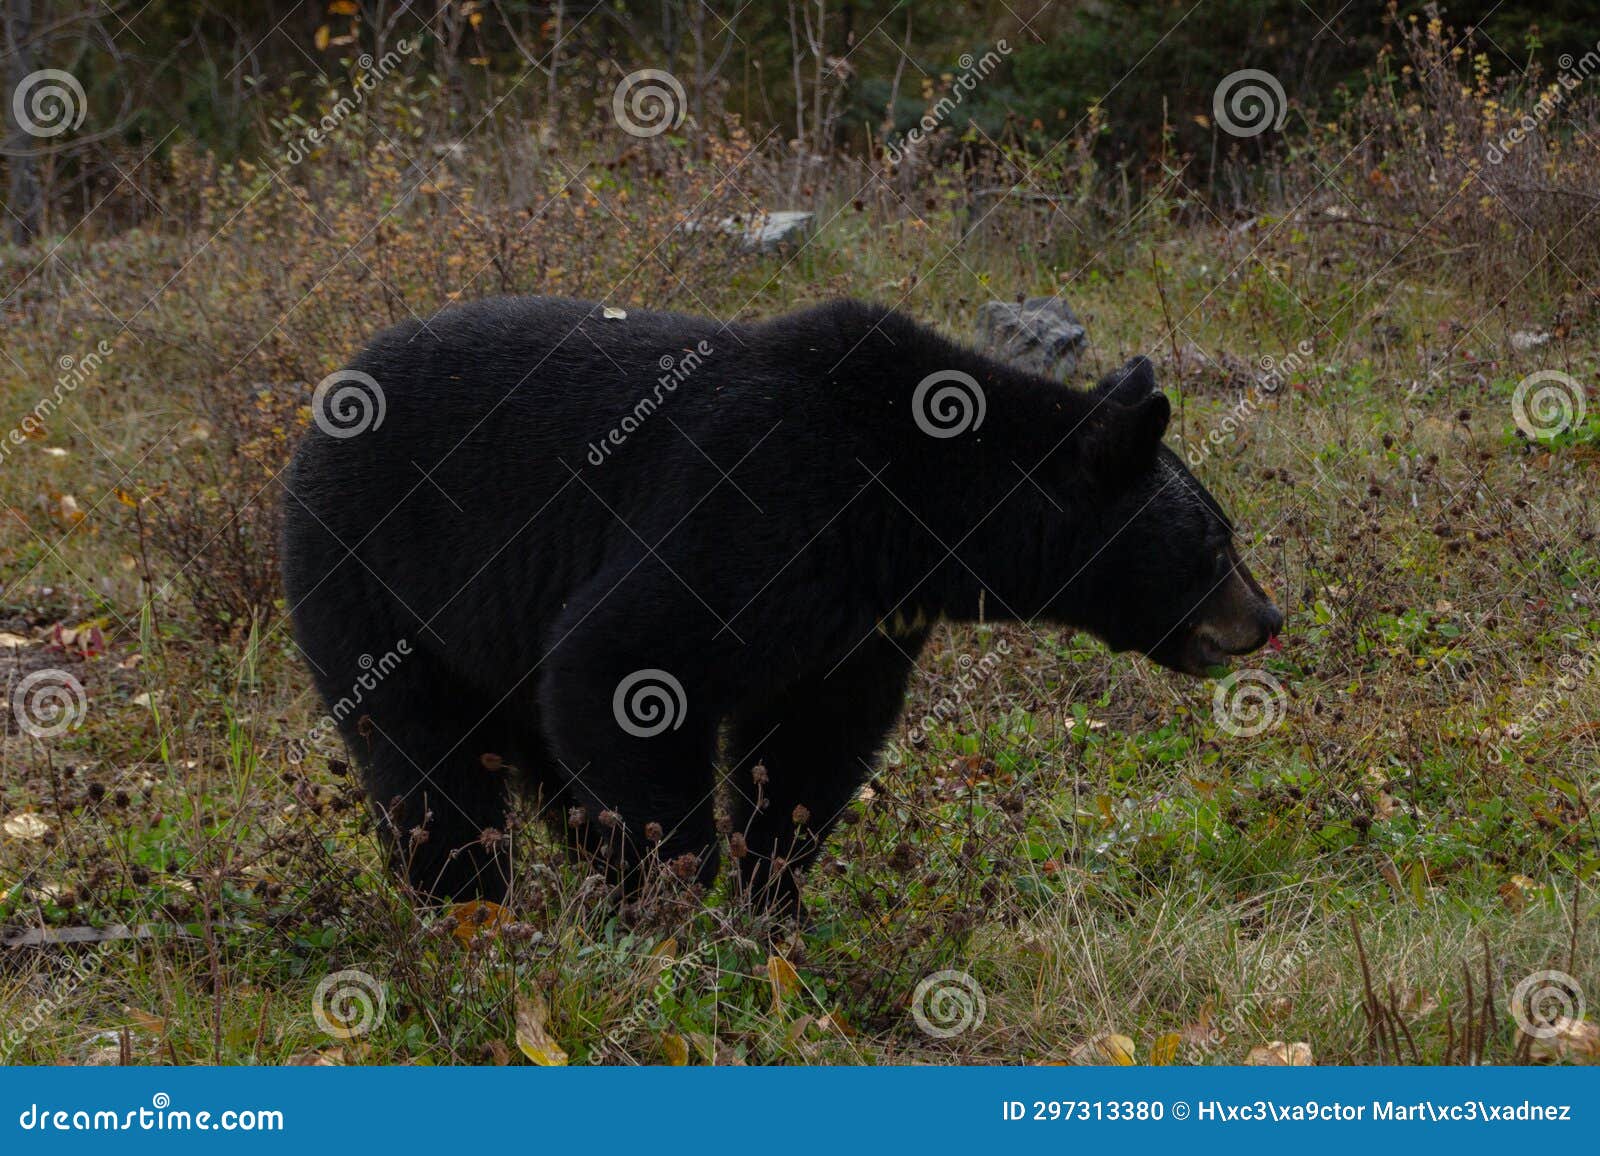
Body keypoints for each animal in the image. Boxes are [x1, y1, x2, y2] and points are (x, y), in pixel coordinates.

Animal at [281, 296, 1282, 914]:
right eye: (1216, 543)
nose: (1268, 619)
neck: (917, 502)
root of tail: (328, 398)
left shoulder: (859, 616)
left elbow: (813, 746)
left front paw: (772, 904)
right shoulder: (758, 506)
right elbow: (619, 662)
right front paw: (678, 895)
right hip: (375, 577)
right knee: (426, 761)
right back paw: (469, 907)